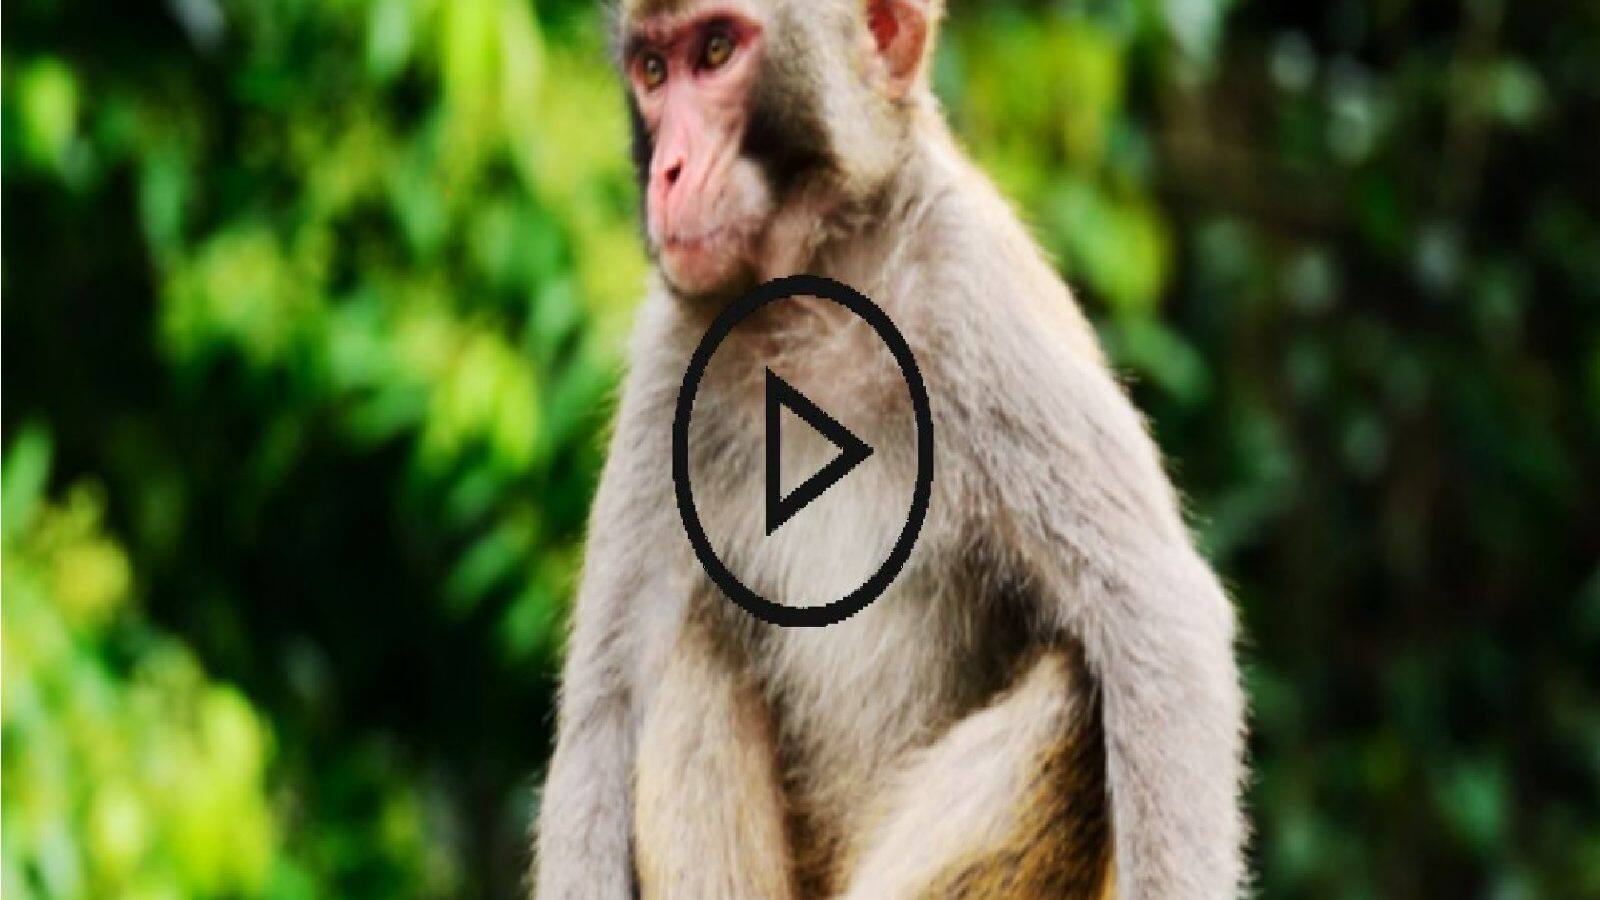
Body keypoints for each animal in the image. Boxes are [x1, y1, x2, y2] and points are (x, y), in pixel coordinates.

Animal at [534, 0, 1247, 897]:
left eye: (718, 52)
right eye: (654, 73)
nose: (668, 170)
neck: (817, 291)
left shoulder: (971, 295)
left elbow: (1158, 618)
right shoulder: (671, 358)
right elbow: (607, 702)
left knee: (1075, 691)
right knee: (688, 647)